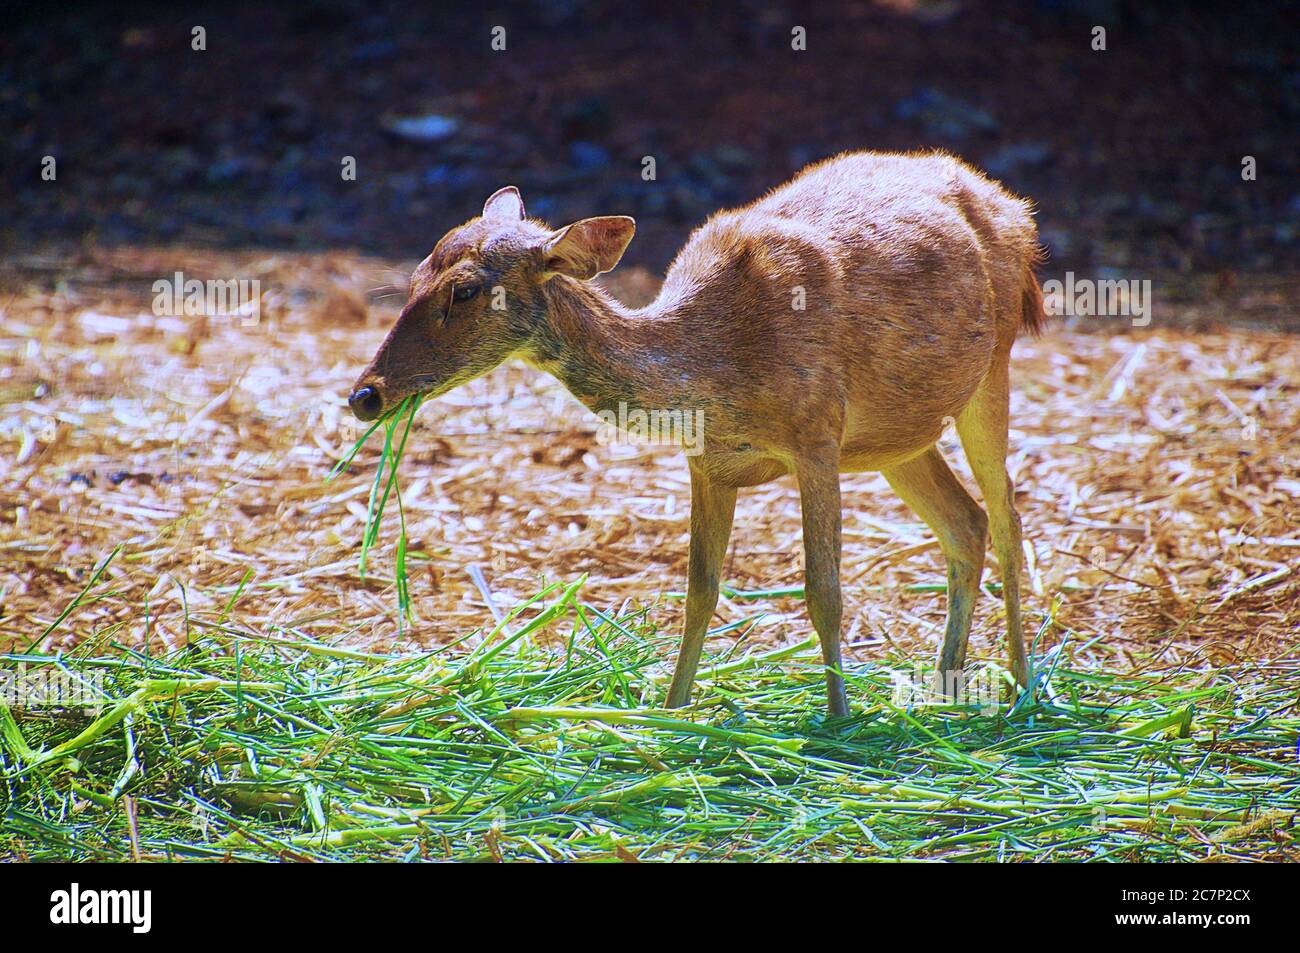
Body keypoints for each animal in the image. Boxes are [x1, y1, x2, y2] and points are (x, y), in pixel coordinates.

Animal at [348, 150, 1045, 717]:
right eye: (415, 272)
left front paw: (838, 718)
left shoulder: (817, 436)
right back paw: (943, 687)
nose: (366, 394)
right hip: (897, 437)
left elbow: (823, 588)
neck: (719, 367)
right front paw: (673, 711)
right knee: (966, 524)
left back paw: (1021, 686)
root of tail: (1019, 214)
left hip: (993, 368)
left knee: (1007, 517)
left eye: (466, 290)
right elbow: (700, 589)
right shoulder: (706, 462)